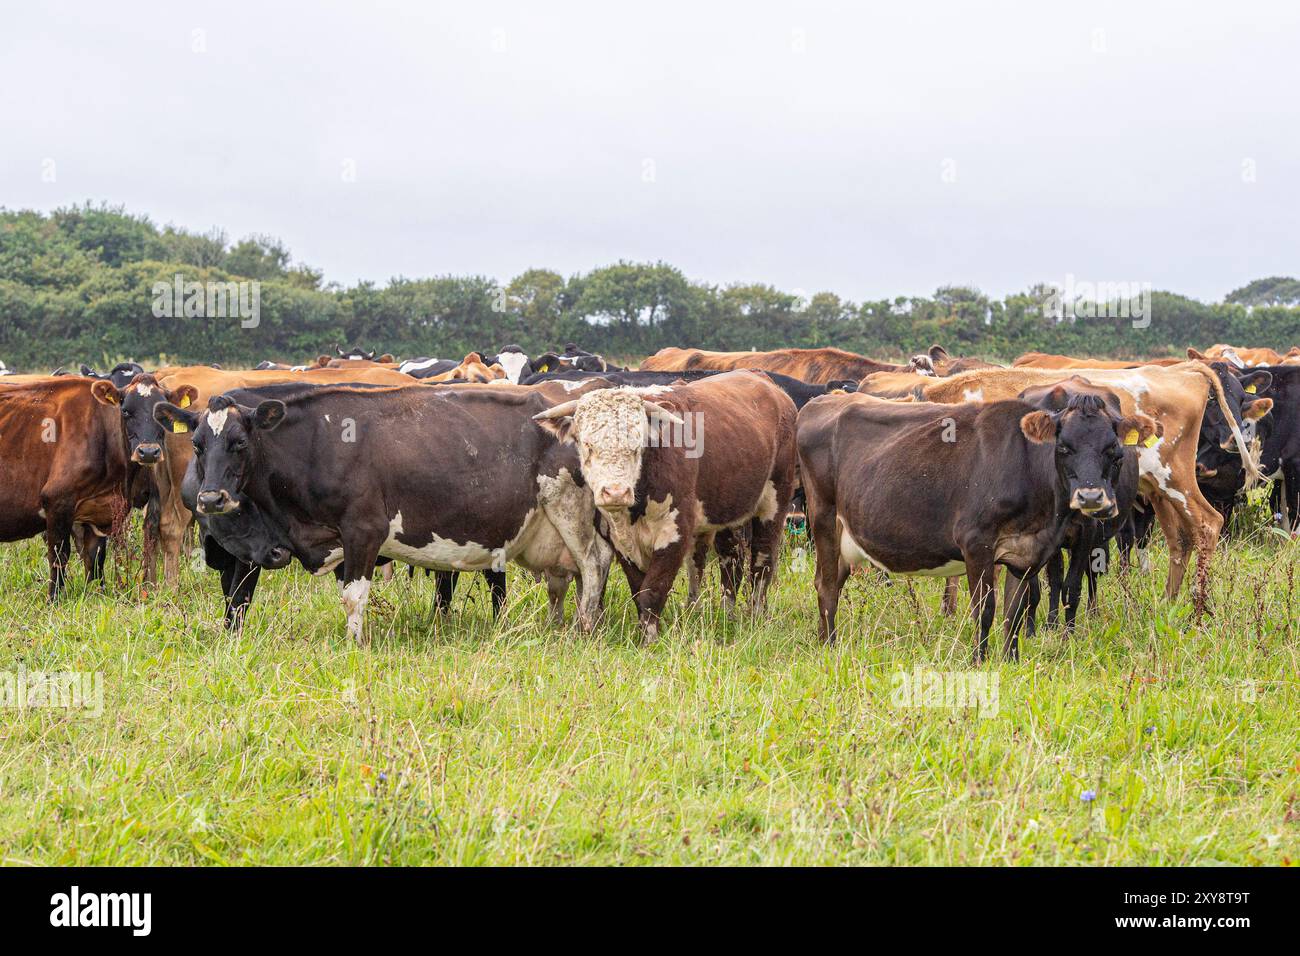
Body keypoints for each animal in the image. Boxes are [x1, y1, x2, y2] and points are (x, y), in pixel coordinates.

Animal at [0, 378, 129, 598]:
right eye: (127, 411)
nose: (148, 451)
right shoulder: (58, 500)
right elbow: (59, 555)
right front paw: (54, 597)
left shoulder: (94, 508)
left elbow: (95, 556)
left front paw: (97, 592)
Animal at [152, 382, 613, 641]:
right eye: (196, 444)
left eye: (240, 443)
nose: (211, 499)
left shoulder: (364, 530)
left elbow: (354, 597)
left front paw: (356, 645)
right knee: (566, 578)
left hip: (570, 510)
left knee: (593, 566)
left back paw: (585, 629)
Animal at [531, 370, 798, 643]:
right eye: (587, 445)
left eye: (637, 446)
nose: (616, 492)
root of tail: (762, 379)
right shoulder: (621, 540)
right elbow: (639, 590)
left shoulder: (675, 534)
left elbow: (653, 591)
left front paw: (649, 640)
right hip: (728, 509)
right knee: (731, 561)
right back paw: (726, 614)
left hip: (775, 500)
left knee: (762, 560)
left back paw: (756, 614)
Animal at [796, 391, 1158, 660]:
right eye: (1063, 447)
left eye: (1115, 452)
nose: (1090, 497)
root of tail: (820, 402)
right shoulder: (976, 543)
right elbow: (985, 610)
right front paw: (979, 661)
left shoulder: (1025, 554)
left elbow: (1015, 612)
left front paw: (1010, 660)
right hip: (823, 517)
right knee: (826, 586)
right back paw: (829, 647)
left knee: (832, 581)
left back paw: (825, 639)